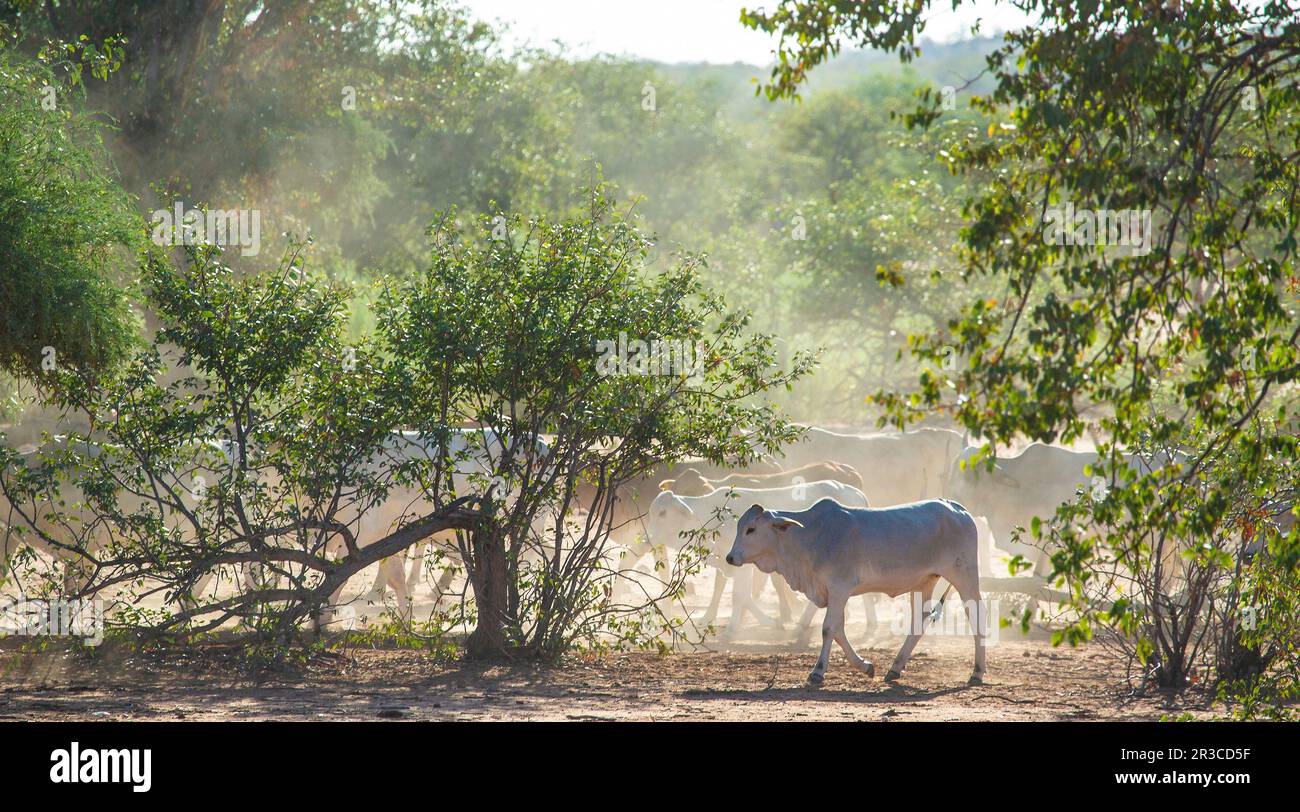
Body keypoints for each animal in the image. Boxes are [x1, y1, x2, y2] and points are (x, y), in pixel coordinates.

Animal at [646, 480, 869, 638]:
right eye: (652, 512)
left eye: (663, 513)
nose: (648, 537)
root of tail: (855, 493)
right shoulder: (729, 562)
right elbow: (737, 594)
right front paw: (769, 621)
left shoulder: (741, 564)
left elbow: (739, 595)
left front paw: (734, 628)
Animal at [725, 498, 986, 686]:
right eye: (739, 527)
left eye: (751, 529)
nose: (730, 557)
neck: (809, 536)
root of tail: (958, 509)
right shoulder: (835, 593)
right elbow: (839, 630)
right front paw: (866, 666)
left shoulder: (839, 587)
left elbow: (828, 629)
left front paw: (817, 672)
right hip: (924, 584)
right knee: (918, 621)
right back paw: (895, 668)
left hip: (964, 575)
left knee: (977, 617)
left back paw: (977, 673)